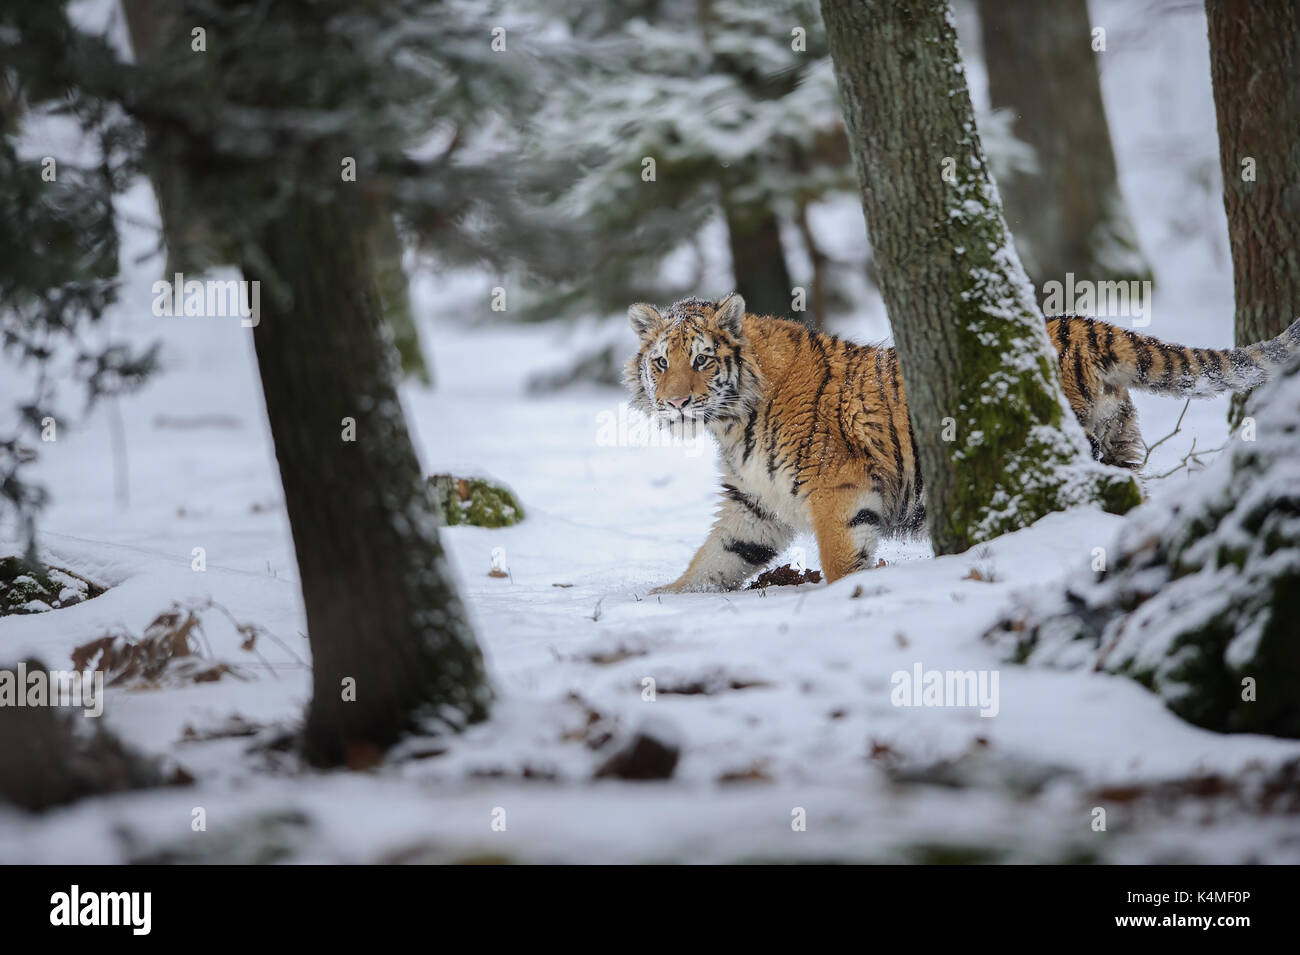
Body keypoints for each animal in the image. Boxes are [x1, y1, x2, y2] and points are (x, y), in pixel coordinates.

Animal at [625, 292, 1300, 593]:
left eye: (703, 361)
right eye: (661, 363)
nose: (676, 401)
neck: (731, 420)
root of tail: (1086, 325)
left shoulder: (839, 489)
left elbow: (841, 558)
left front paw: (842, 595)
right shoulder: (755, 505)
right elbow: (714, 558)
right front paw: (663, 597)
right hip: (1118, 447)